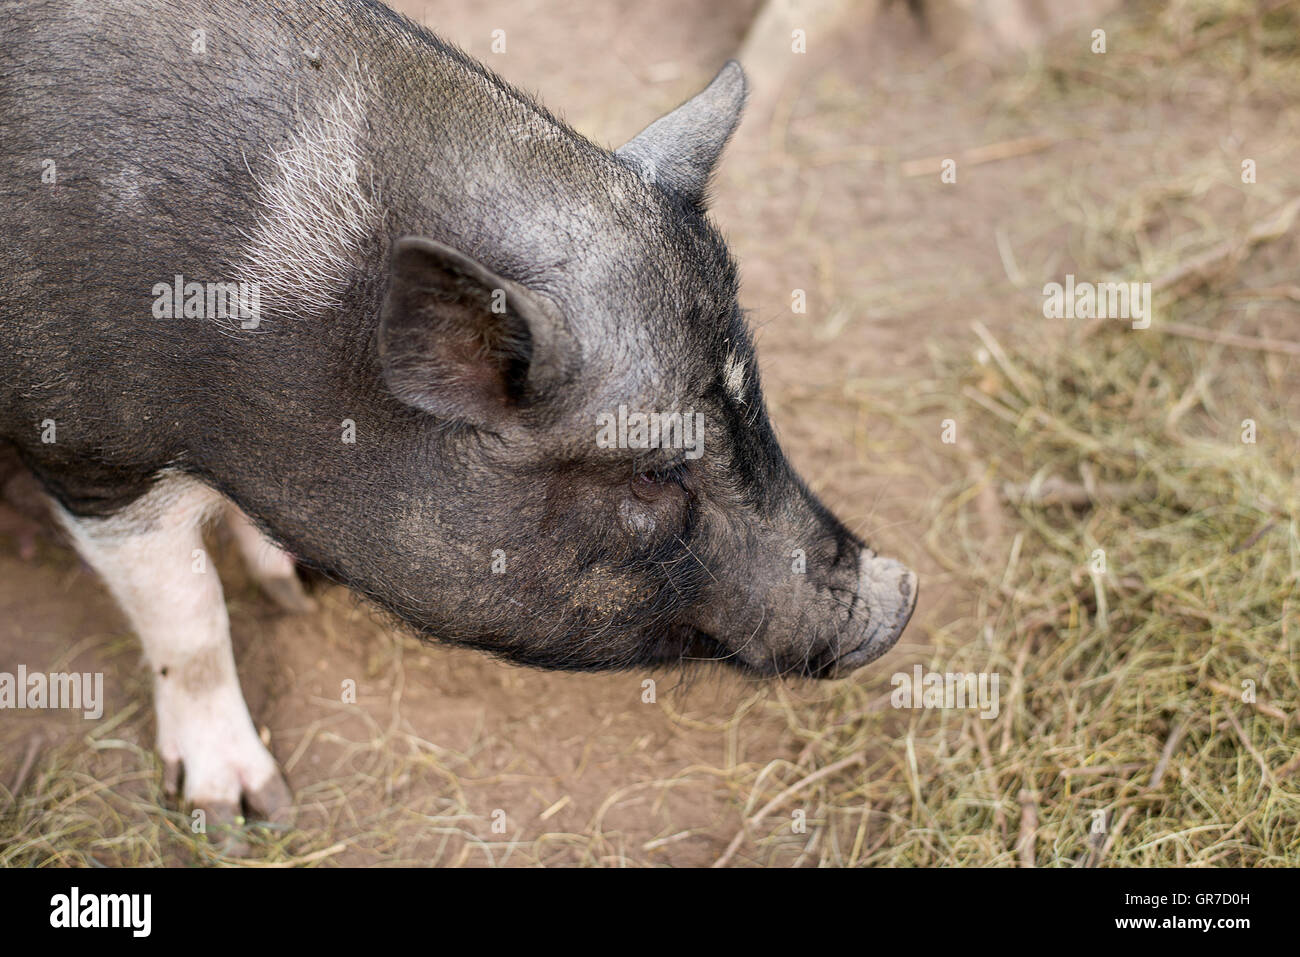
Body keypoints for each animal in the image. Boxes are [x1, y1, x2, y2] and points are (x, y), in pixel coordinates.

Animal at [0, 0, 917, 831]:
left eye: (753, 396)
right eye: (656, 470)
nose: (900, 595)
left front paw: (296, 589)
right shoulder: (94, 451)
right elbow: (190, 619)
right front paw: (248, 814)